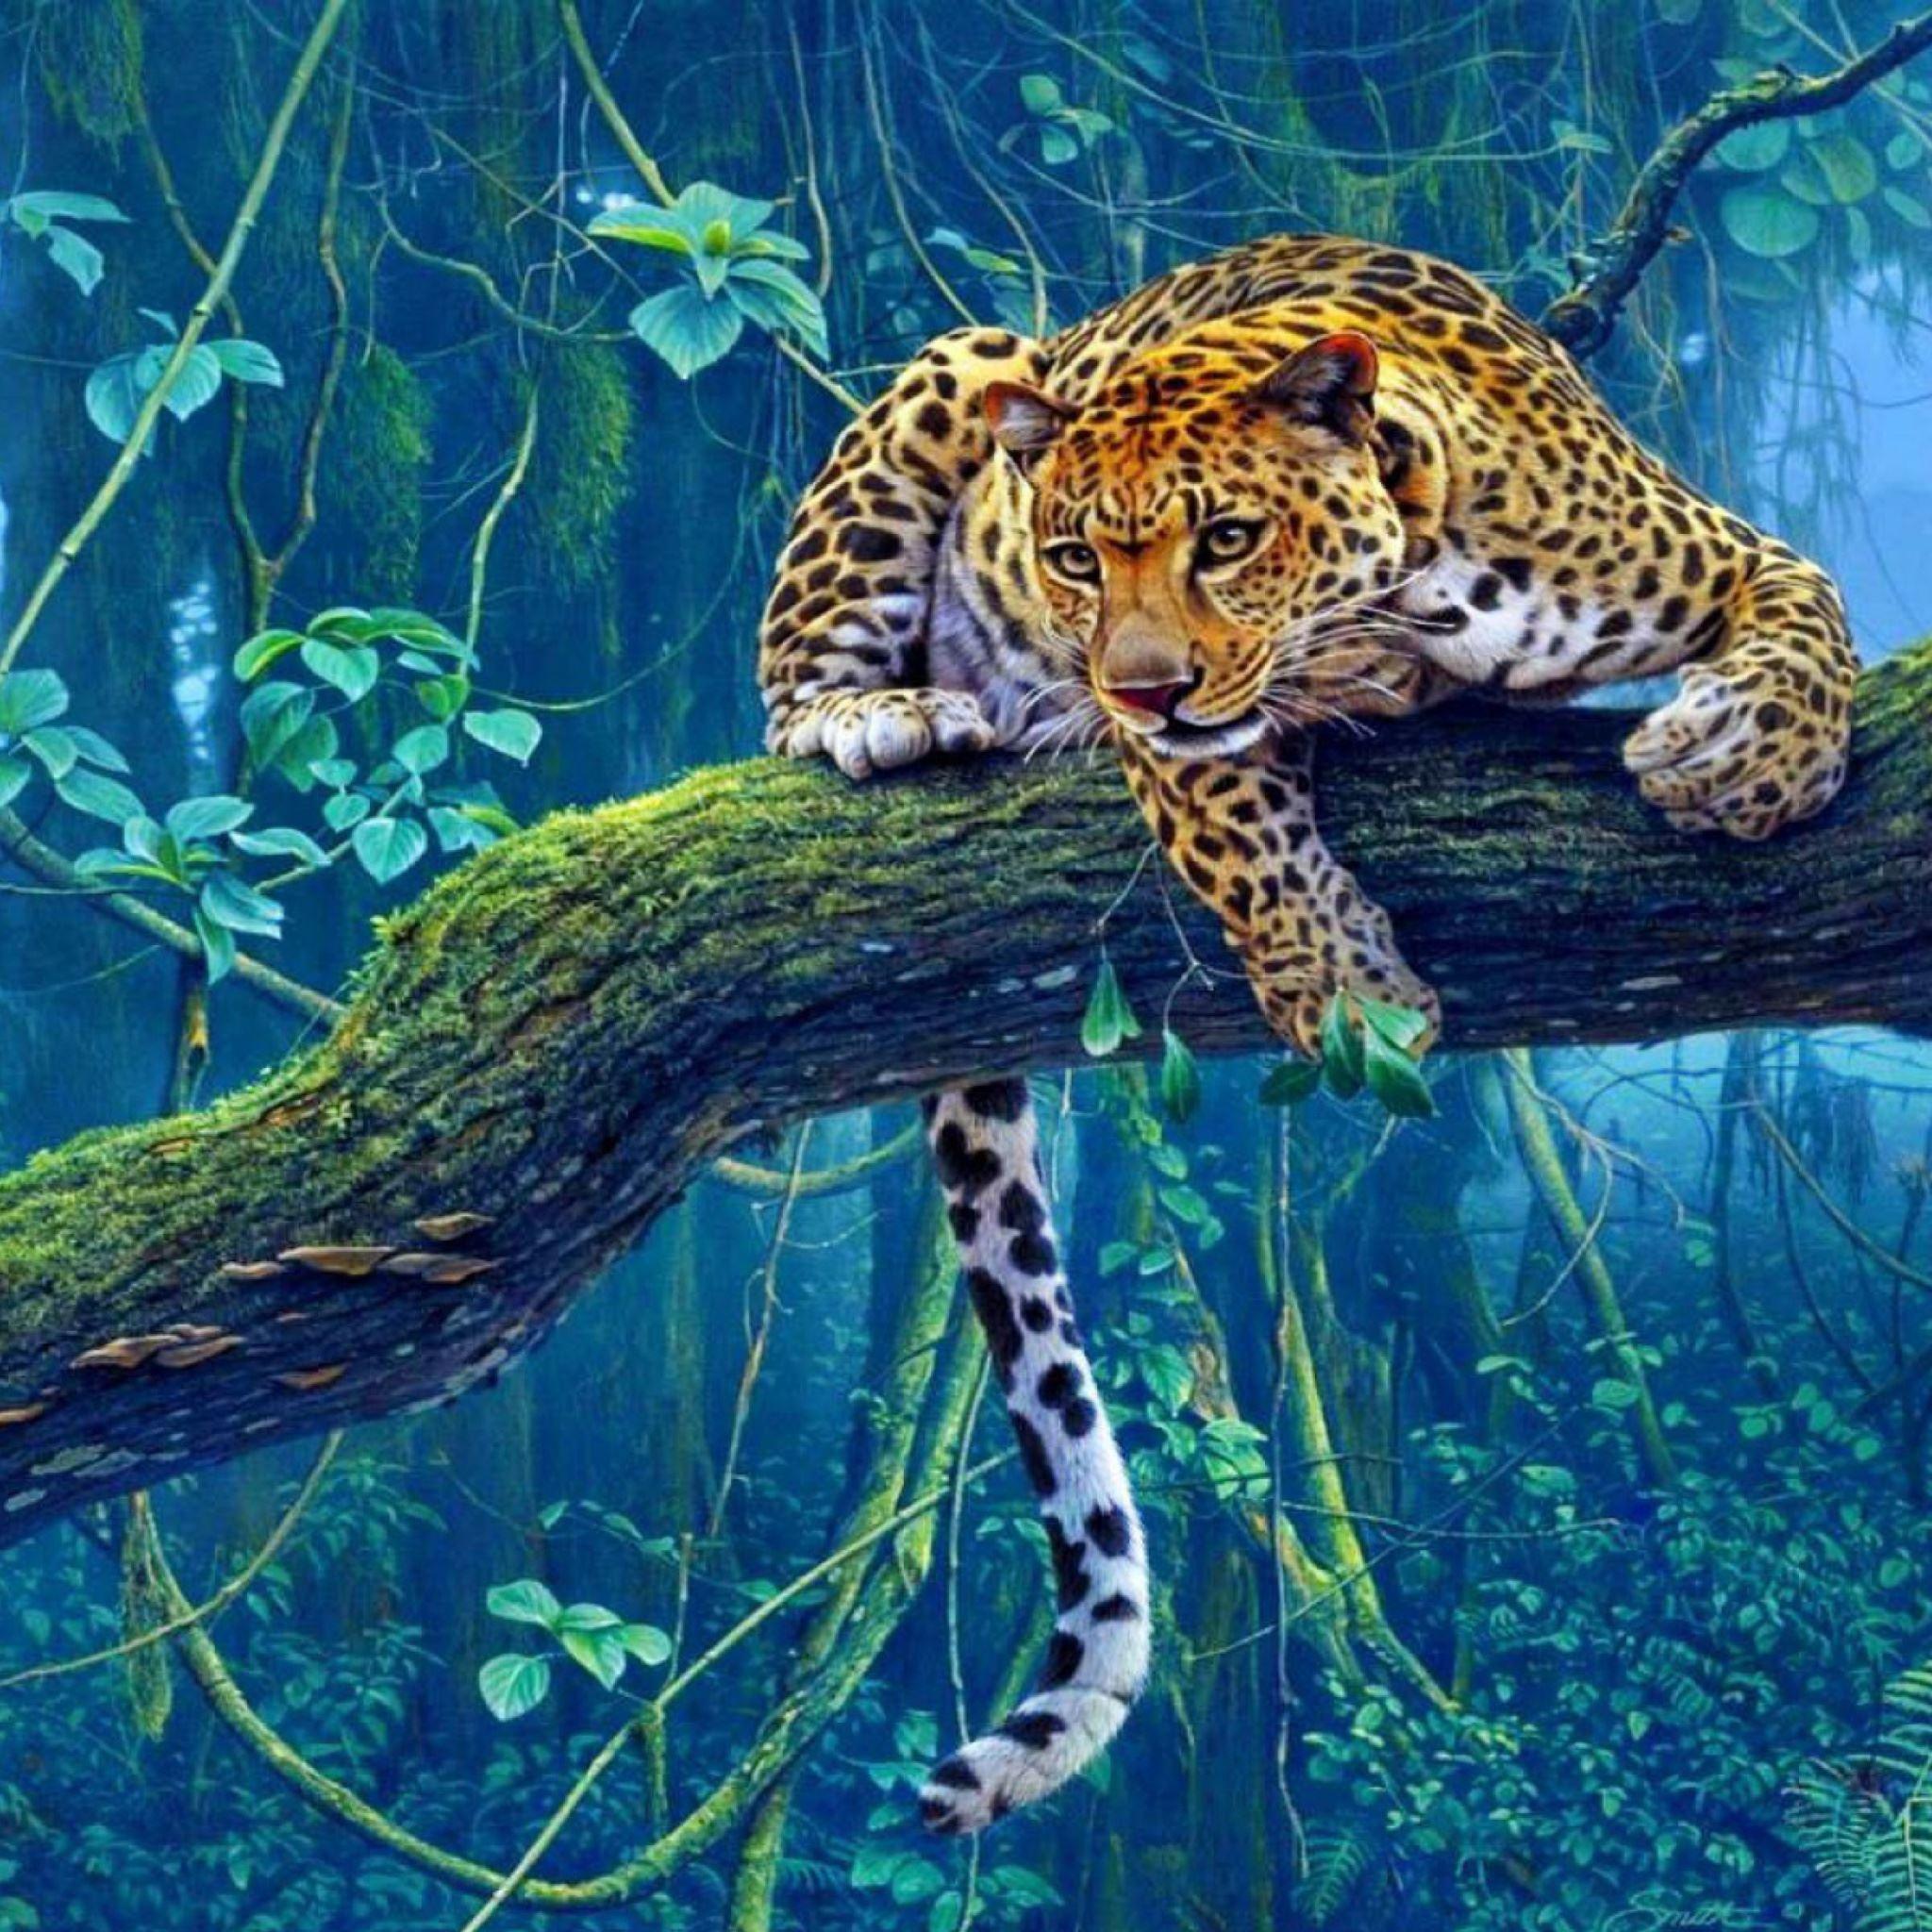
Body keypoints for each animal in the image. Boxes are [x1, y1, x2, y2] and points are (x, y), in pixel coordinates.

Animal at [757, 233, 1857, 1833]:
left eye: (1225, 537)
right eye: (1073, 557)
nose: (1135, 681)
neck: (1423, 589)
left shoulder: (1713, 549)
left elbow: (1810, 608)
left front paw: (1747, 761)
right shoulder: (1180, 743)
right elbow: (1235, 823)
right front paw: (1347, 991)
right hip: (963, 363)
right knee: (790, 692)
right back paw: (885, 714)